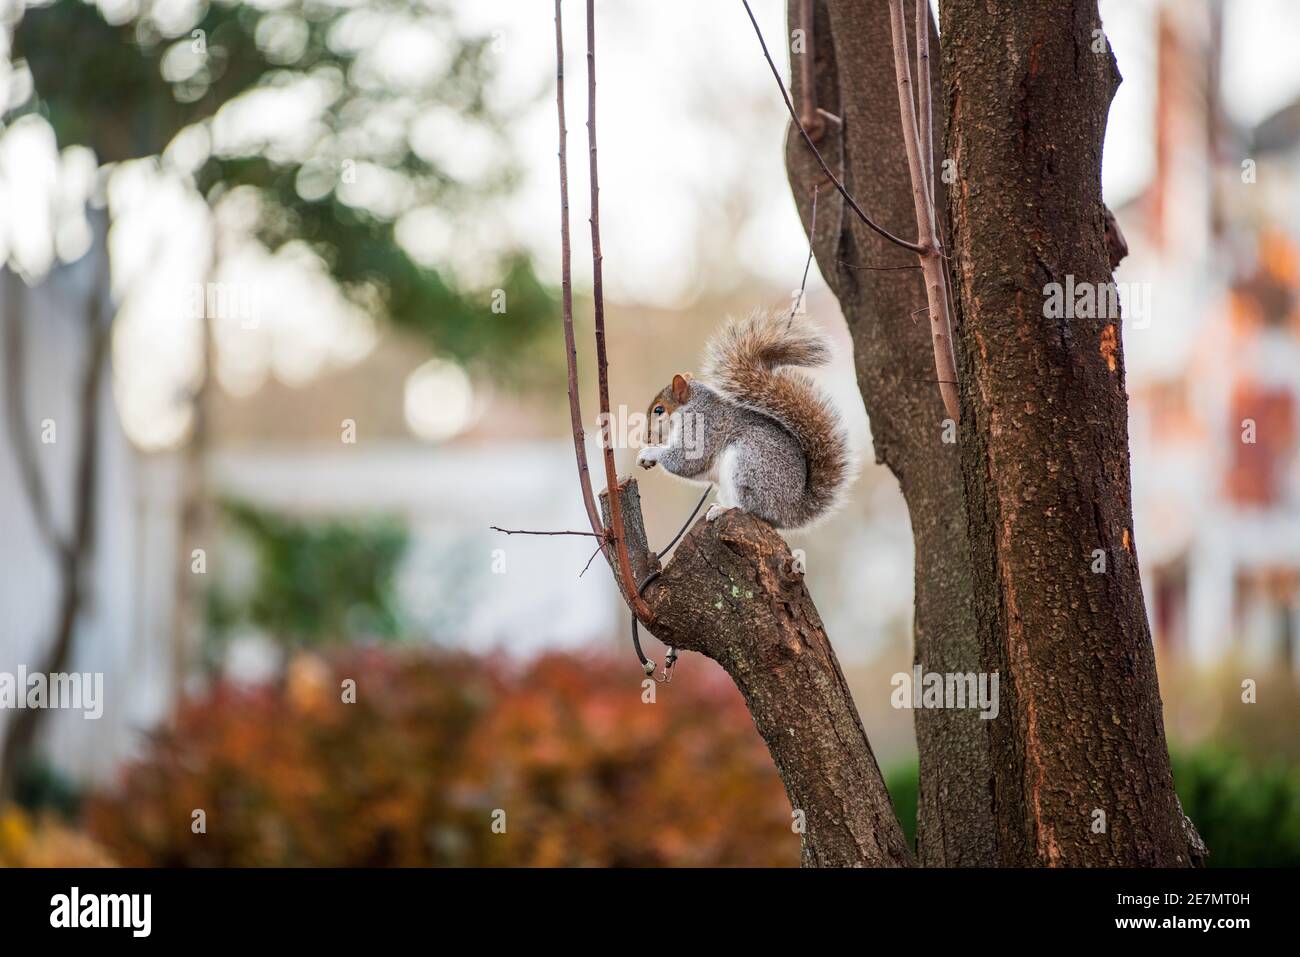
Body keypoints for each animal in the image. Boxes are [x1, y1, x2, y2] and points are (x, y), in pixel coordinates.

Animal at [636, 310, 855, 530]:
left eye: (659, 410)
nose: (646, 438)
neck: (692, 407)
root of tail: (791, 510)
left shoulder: (703, 429)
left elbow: (686, 461)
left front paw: (649, 452)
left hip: (748, 465)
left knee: (751, 509)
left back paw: (722, 509)